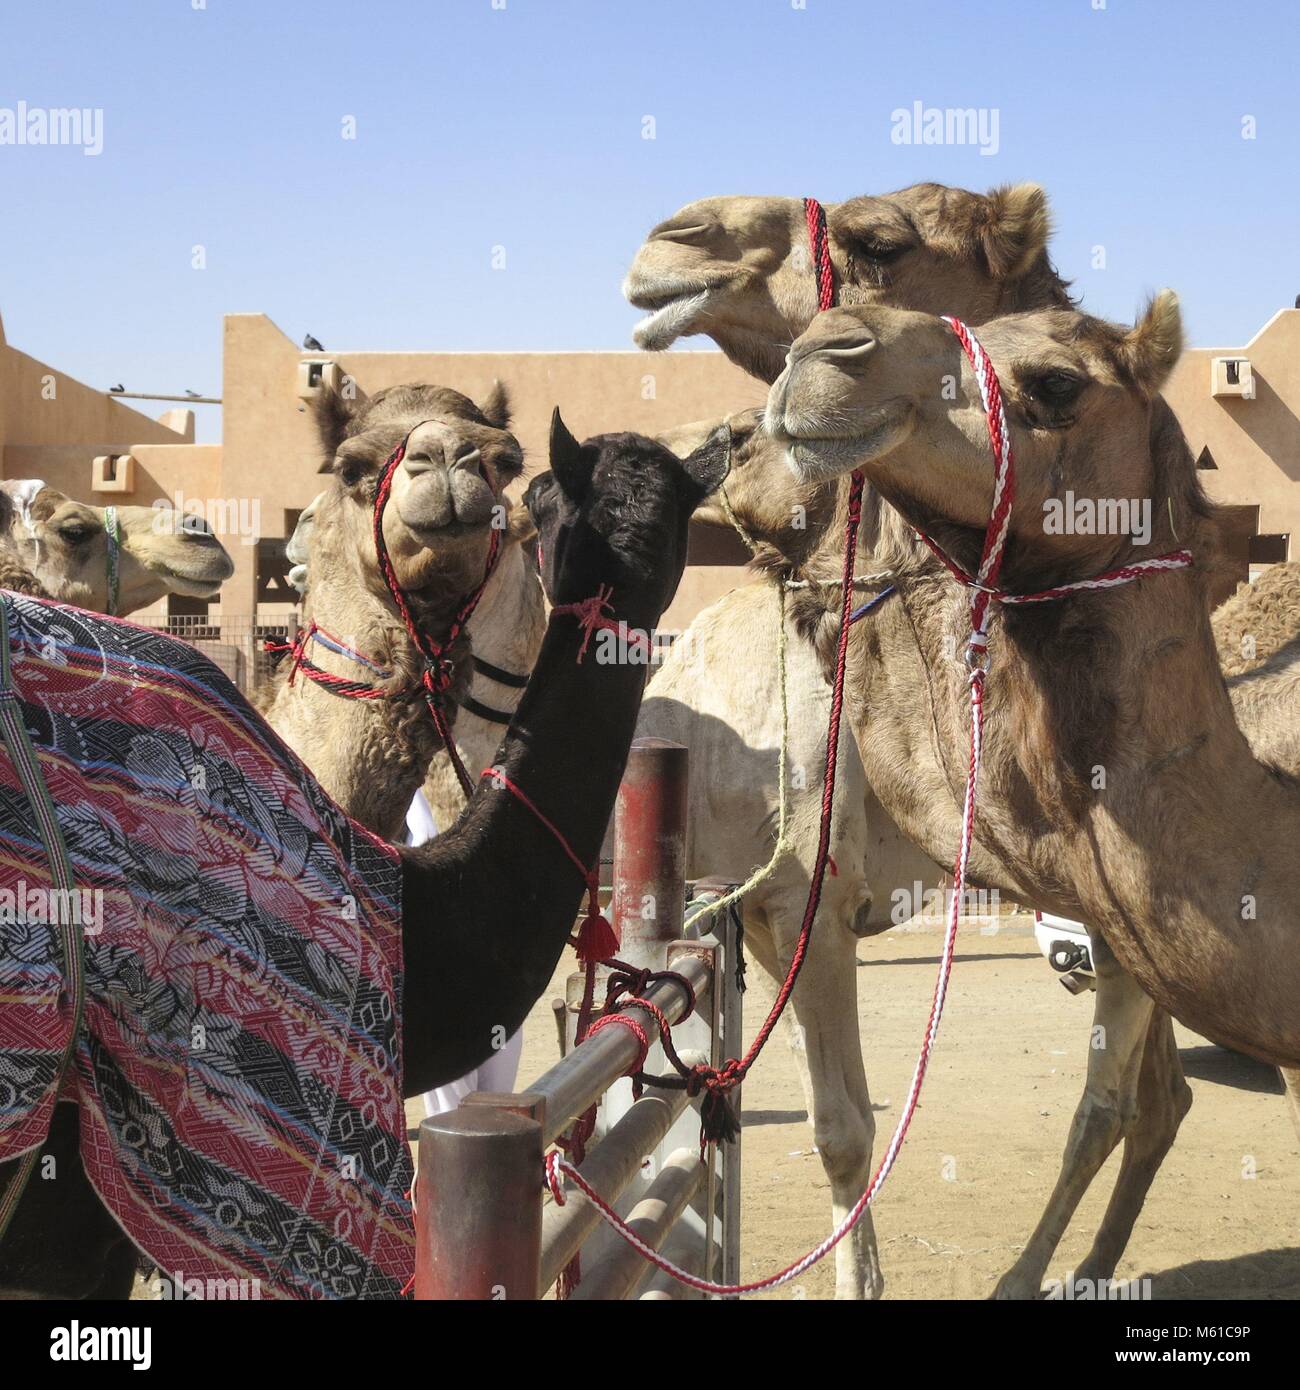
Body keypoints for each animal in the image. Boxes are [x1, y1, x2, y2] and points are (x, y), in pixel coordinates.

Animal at [629, 180, 1300, 1298]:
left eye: (878, 241)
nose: (668, 242)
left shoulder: (809, 898)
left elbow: (841, 1128)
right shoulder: (753, 911)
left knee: (1121, 1099)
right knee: (1155, 1097)